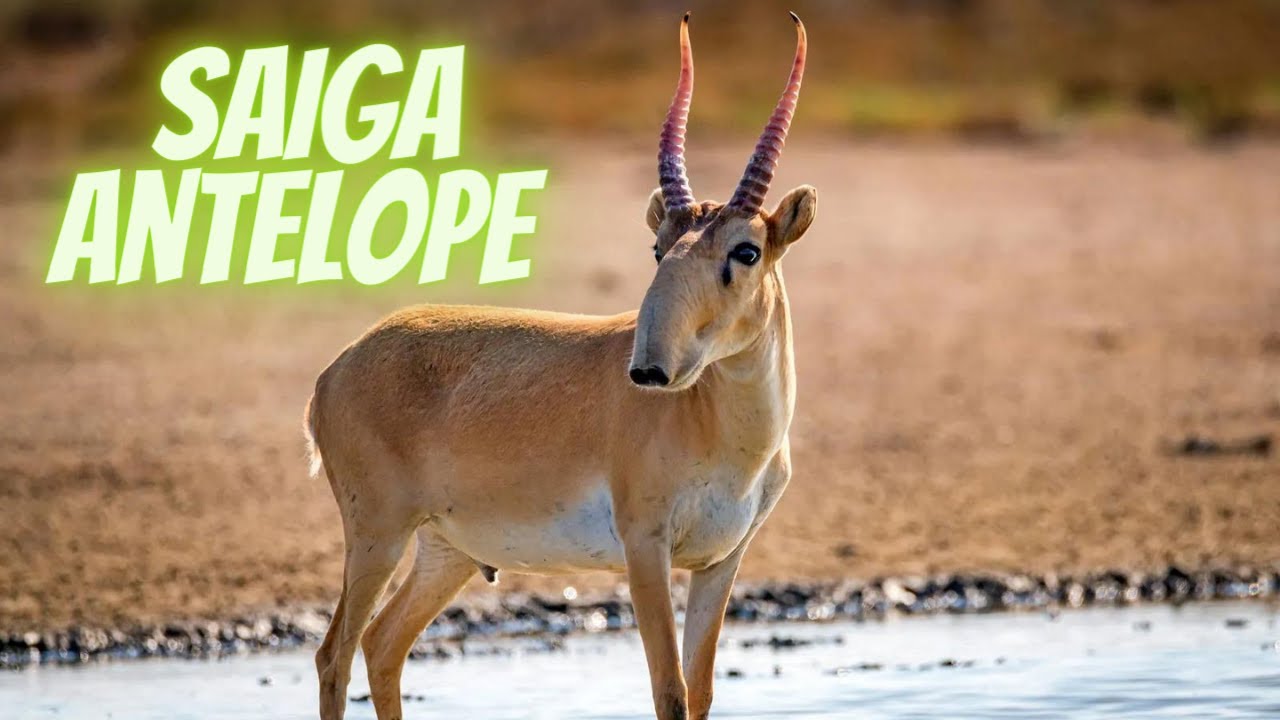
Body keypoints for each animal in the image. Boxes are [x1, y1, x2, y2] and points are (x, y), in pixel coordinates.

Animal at [307, 12, 816, 720]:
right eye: (658, 247)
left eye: (747, 250)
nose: (650, 371)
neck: (724, 434)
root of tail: (337, 369)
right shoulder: (645, 549)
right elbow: (669, 692)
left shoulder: (720, 562)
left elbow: (701, 693)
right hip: (377, 535)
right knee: (336, 653)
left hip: (446, 552)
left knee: (382, 645)